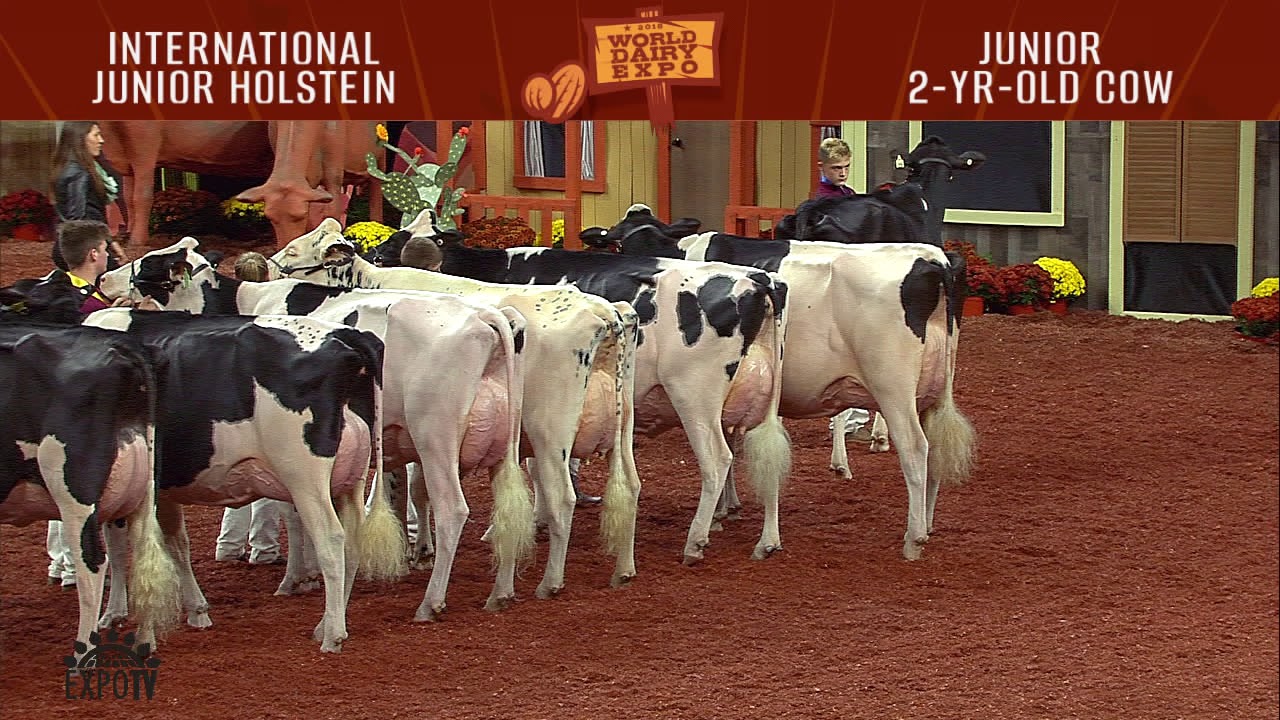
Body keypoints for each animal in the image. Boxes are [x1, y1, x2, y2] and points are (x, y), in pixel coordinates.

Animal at [0, 320, 181, 660]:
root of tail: (123, 345)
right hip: (147, 484)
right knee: (143, 552)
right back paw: (144, 643)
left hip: (74, 488)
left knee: (93, 565)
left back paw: (82, 656)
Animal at [116, 229, 639, 608]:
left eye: (149, 266)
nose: (105, 281)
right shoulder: (391, 438)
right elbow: (402, 490)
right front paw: (407, 552)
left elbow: (296, 510)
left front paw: (299, 576)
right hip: (597, 431)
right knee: (621, 487)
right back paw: (608, 570)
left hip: (531, 435)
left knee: (545, 500)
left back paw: (522, 587)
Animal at [287, 211, 794, 566]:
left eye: (388, 247)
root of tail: (755, 280)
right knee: (765, 455)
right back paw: (764, 538)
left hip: (695, 396)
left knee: (718, 460)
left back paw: (696, 539)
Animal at [592, 205, 976, 561]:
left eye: (618, 243)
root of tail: (934, 259)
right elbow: (735, 441)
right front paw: (728, 508)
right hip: (932, 390)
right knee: (936, 446)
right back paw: (927, 522)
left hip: (893, 388)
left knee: (915, 448)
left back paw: (913, 537)